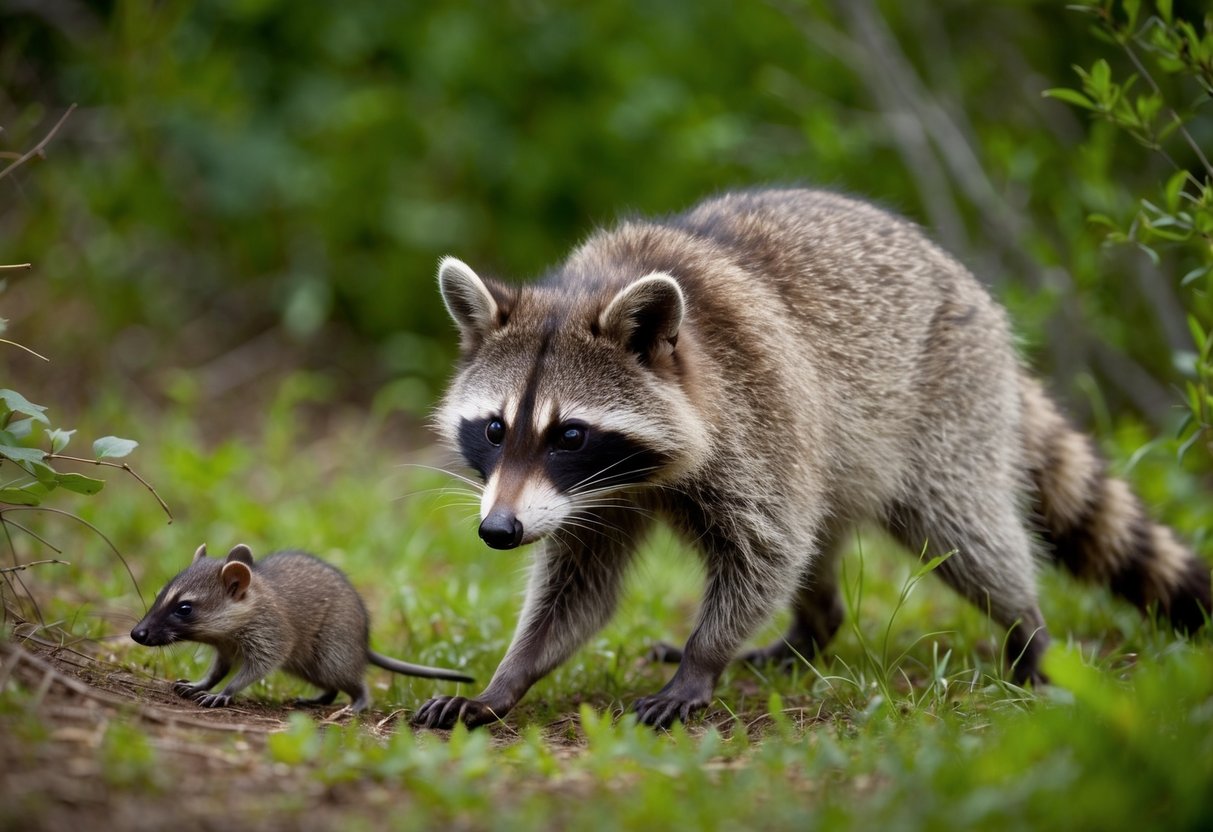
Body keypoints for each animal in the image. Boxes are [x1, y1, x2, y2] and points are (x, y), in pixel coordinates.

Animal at [413, 188, 1211, 731]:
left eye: (570, 435)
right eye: (494, 429)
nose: (498, 532)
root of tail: (967, 286)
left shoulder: (754, 415)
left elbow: (764, 549)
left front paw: (705, 658)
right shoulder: (588, 499)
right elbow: (580, 587)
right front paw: (509, 676)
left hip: (946, 399)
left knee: (962, 529)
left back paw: (1025, 628)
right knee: (820, 539)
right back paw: (811, 628)